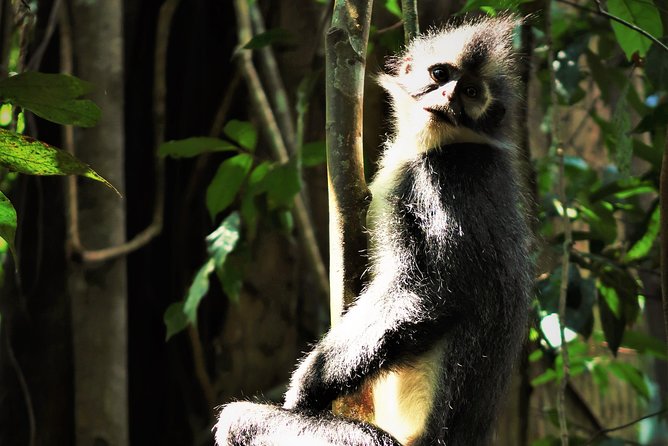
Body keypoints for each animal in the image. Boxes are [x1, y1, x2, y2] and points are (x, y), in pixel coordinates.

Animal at [214, 14, 532, 446]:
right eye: (440, 74)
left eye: (469, 92)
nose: (448, 96)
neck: (451, 143)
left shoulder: (440, 180)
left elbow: (434, 293)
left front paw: (309, 383)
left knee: (238, 420)